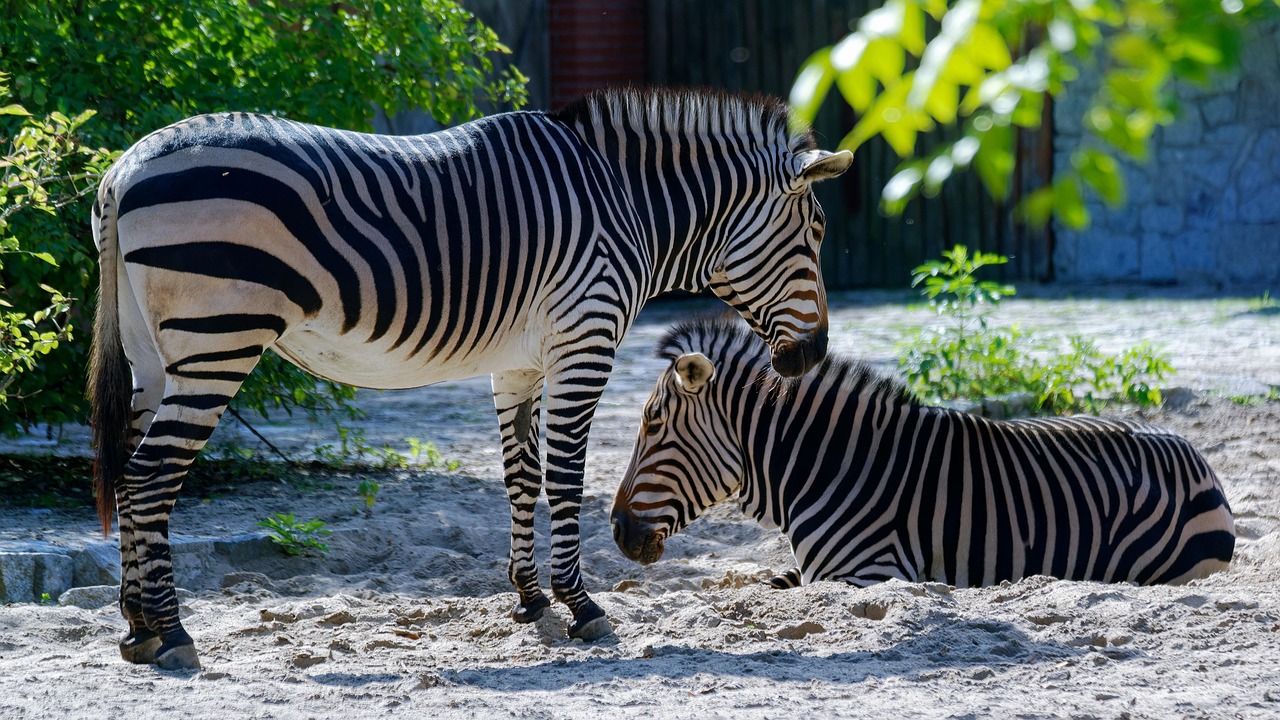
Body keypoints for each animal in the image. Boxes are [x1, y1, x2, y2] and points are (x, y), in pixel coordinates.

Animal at [88, 88, 852, 669]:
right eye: (815, 233)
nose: (812, 356)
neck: (627, 201)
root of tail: (124, 168)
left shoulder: (517, 363)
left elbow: (520, 476)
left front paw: (531, 599)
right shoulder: (584, 341)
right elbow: (565, 477)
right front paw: (582, 606)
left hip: (151, 354)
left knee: (127, 469)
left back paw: (135, 628)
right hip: (219, 339)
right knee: (152, 476)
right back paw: (173, 632)